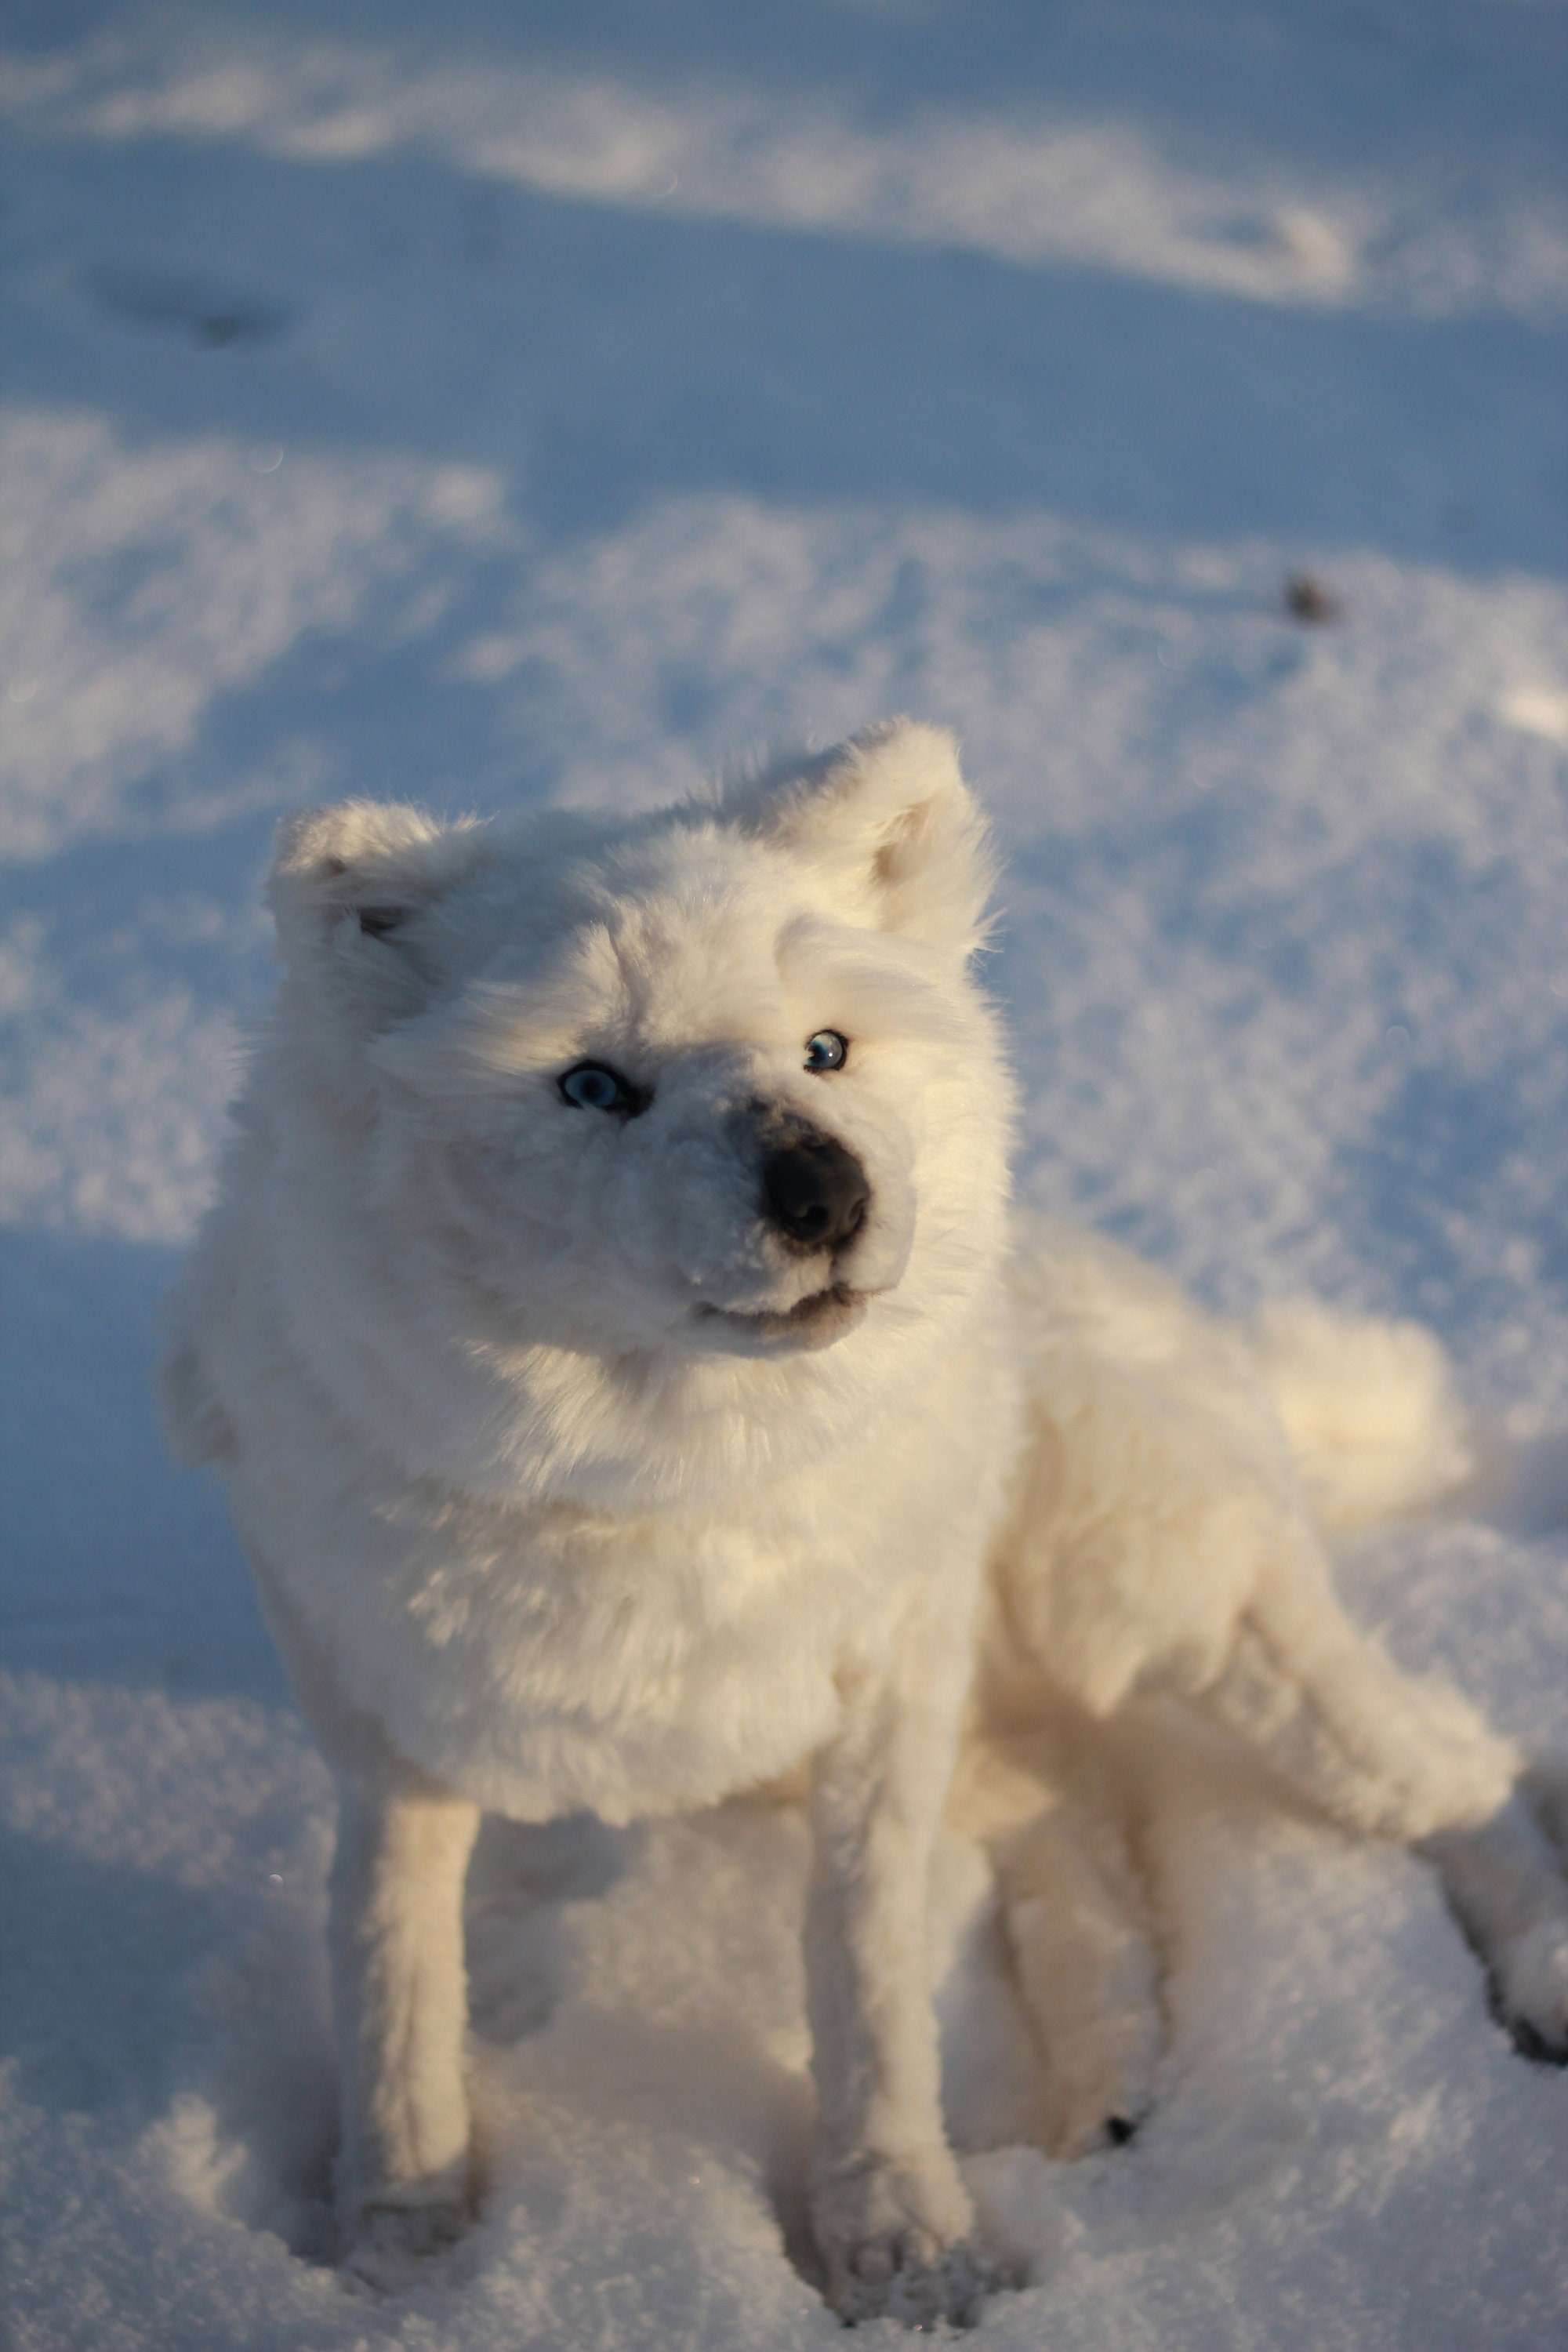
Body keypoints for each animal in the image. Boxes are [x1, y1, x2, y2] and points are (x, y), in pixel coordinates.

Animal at [162, 721, 1568, 2327]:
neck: (669, 1485)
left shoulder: (881, 1712)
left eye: (823, 1052)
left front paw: (900, 2245)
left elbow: (869, 1993)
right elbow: (392, 1993)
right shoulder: (392, 1743)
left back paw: (1537, 1977)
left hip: (1148, 1591)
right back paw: (1107, 2094)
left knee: (1455, 1772)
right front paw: (400, 2247)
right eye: (593, 1086)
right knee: (1083, 1836)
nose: (826, 1190)